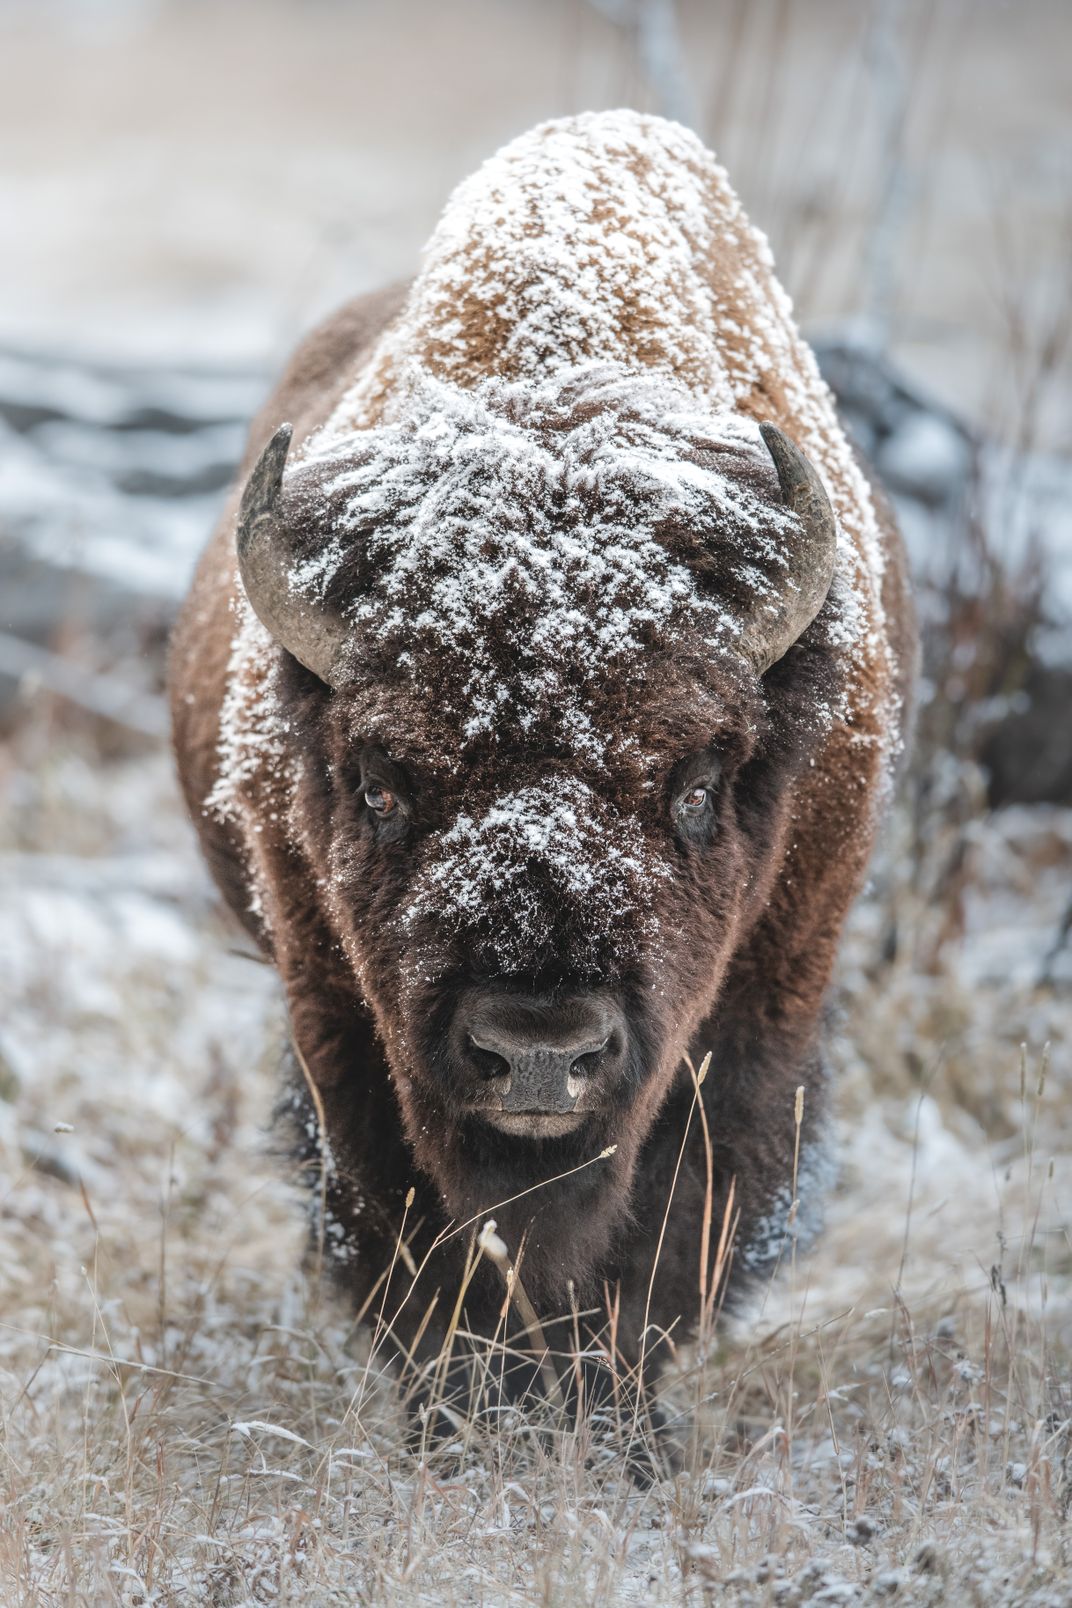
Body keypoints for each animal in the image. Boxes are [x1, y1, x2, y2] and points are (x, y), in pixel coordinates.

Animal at [170, 110, 915, 1448]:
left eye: (696, 780)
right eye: (381, 779)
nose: (535, 1050)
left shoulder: (753, 1014)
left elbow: (672, 1224)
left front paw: (609, 1429)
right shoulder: (340, 1020)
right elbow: (414, 1232)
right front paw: (467, 1423)